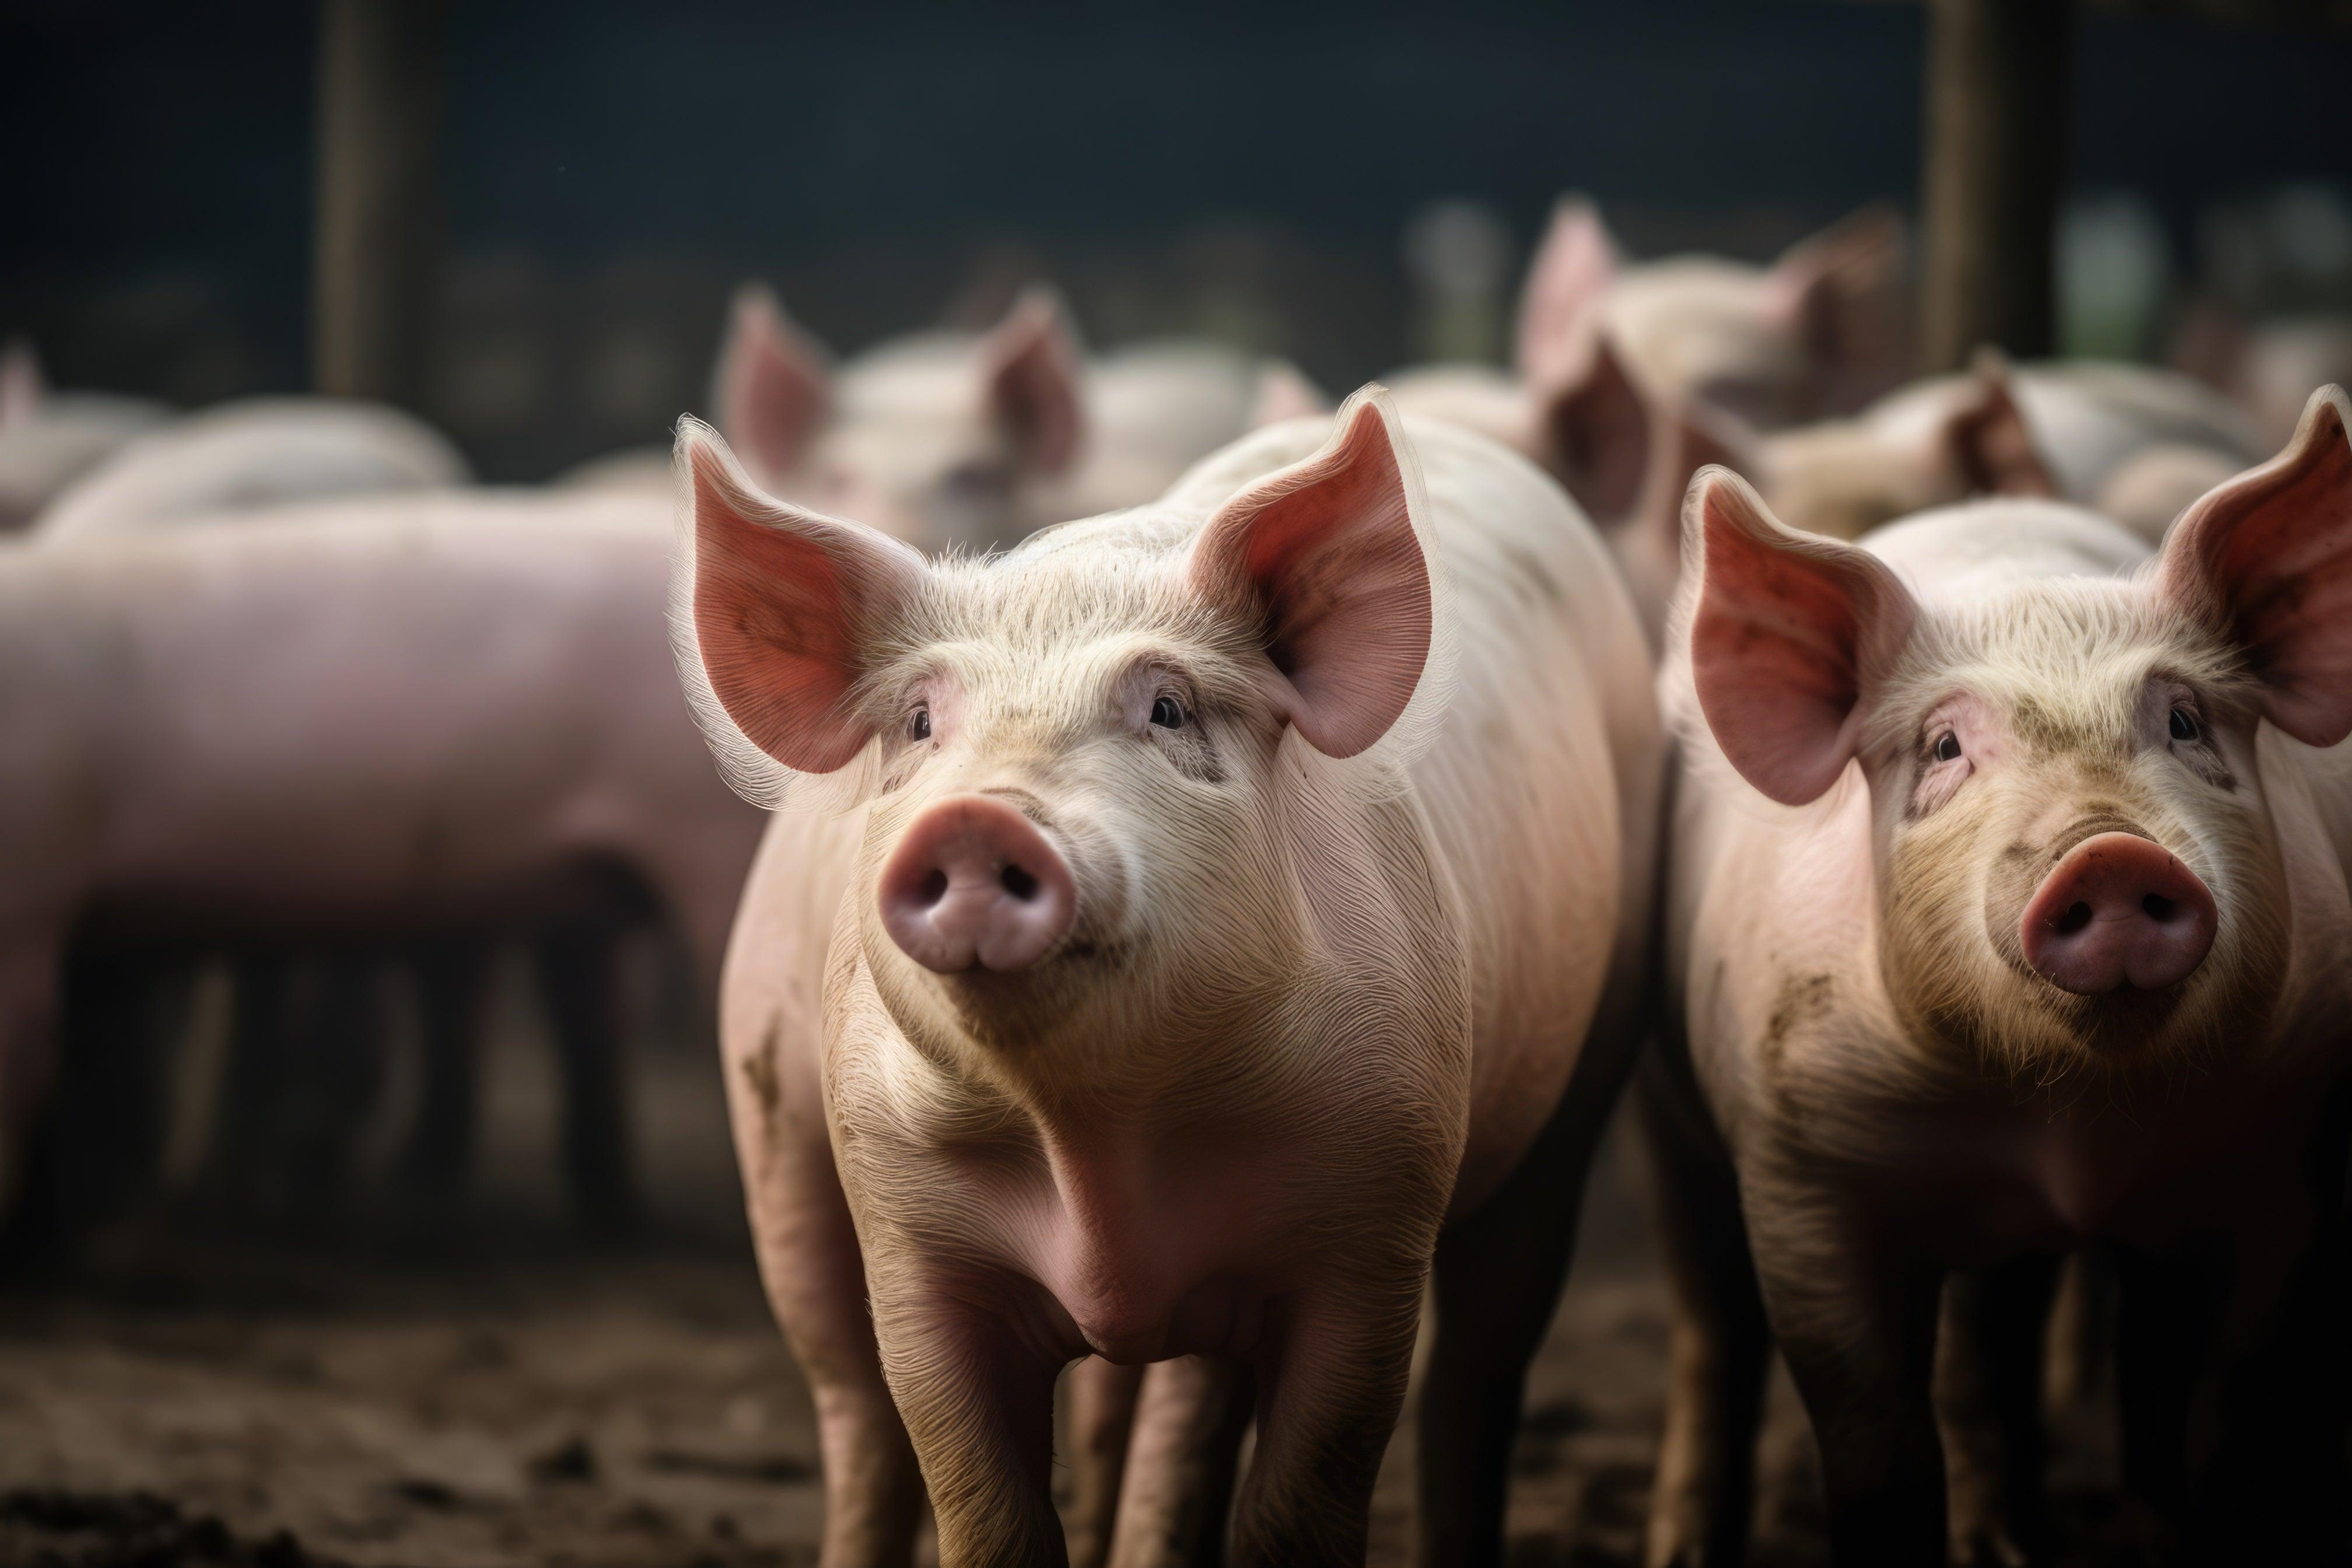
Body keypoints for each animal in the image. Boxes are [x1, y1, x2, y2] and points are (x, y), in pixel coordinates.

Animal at [677, 387, 1661, 1566]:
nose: (979, 818)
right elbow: (974, 1494)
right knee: (862, 1407)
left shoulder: (1377, 1217)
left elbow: (1303, 1494)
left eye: (1167, 709)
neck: (1099, 1146)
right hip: (775, 1118)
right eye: (919, 722)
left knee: (1474, 1366)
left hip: (1579, 1078)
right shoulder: (906, 1224)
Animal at [1640, 387, 2352, 1565]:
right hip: (1672, 1114)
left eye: (2183, 720)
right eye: (1943, 748)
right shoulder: (1804, 1172)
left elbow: (2213, 1421)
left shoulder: (2279, 1157)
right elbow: (1874, 1442)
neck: (2069, 1125)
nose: (2108, 853)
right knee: (1710, 1325)